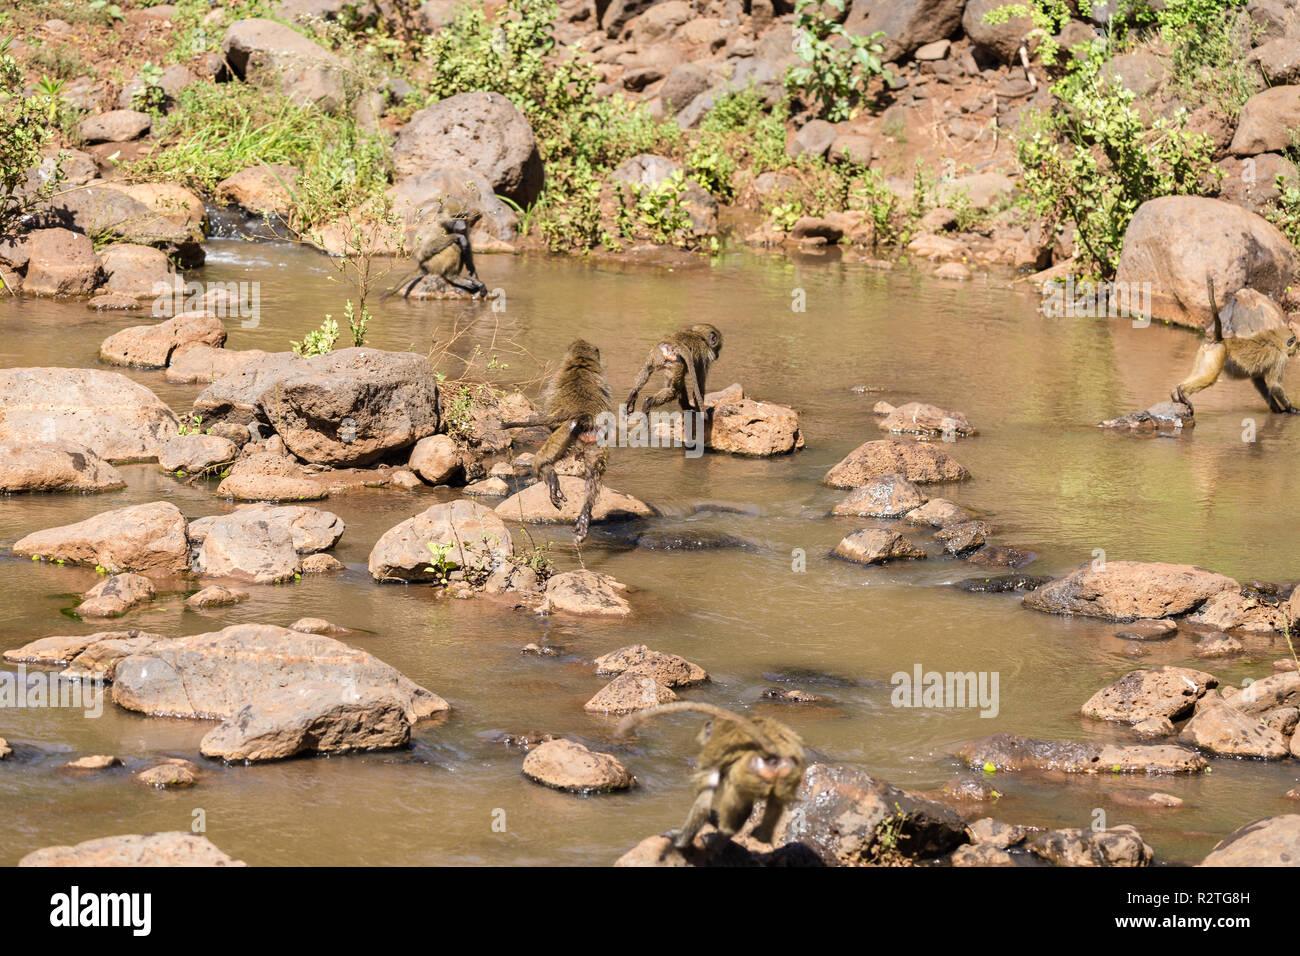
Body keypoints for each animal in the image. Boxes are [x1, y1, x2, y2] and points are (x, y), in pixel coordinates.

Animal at [501, 339, 612, 543]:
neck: (581, 363)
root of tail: (584, 418)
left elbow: (549, 417)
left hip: (563, 434)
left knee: (539, 461)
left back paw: (551, 477)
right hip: (595, 441)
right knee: (593, 478)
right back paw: (585, 516)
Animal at [616, 701, 805, 850]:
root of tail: (772, 751)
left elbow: (703, 803)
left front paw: (680, 841)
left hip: (749, 770)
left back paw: (721, 837)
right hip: (787, 772)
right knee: (774, 802)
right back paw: (761, 837)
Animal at [1171, 277, 1300, 414]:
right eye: (1295, 344)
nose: (1296, 350)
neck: (1276, 340)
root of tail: (1220, 340)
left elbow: (1259, 381)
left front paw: (1276, 408)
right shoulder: (1280, 358)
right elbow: (1274, 385)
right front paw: (1291, 409)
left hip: (1206, 352)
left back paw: (1176, 395)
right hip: (1218, 352)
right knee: (1208, 378)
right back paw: (1181, 394)